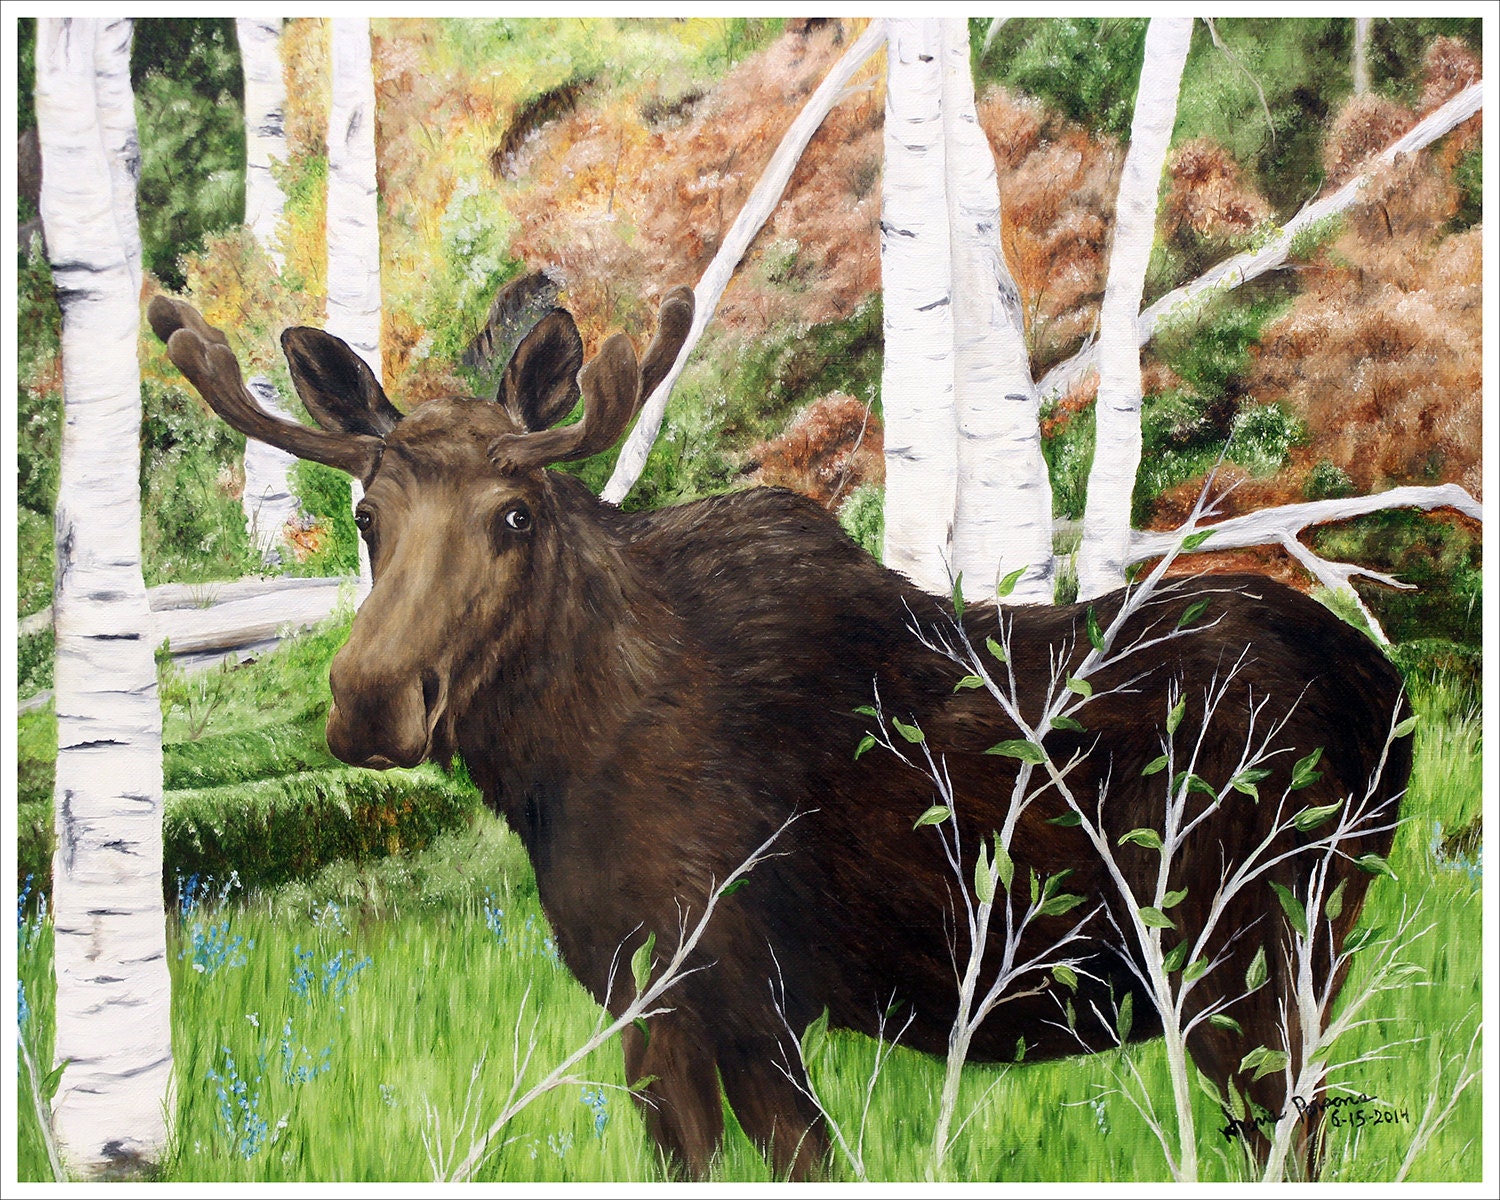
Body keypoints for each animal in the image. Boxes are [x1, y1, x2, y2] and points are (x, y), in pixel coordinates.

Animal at [149, 289, 1408, 1181]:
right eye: (369, 515)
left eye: (514, 516)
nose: (371, 699)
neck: (558, 769)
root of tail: (1387, 692)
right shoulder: (660, 1001)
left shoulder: (728, 985)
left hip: (1249, 954)